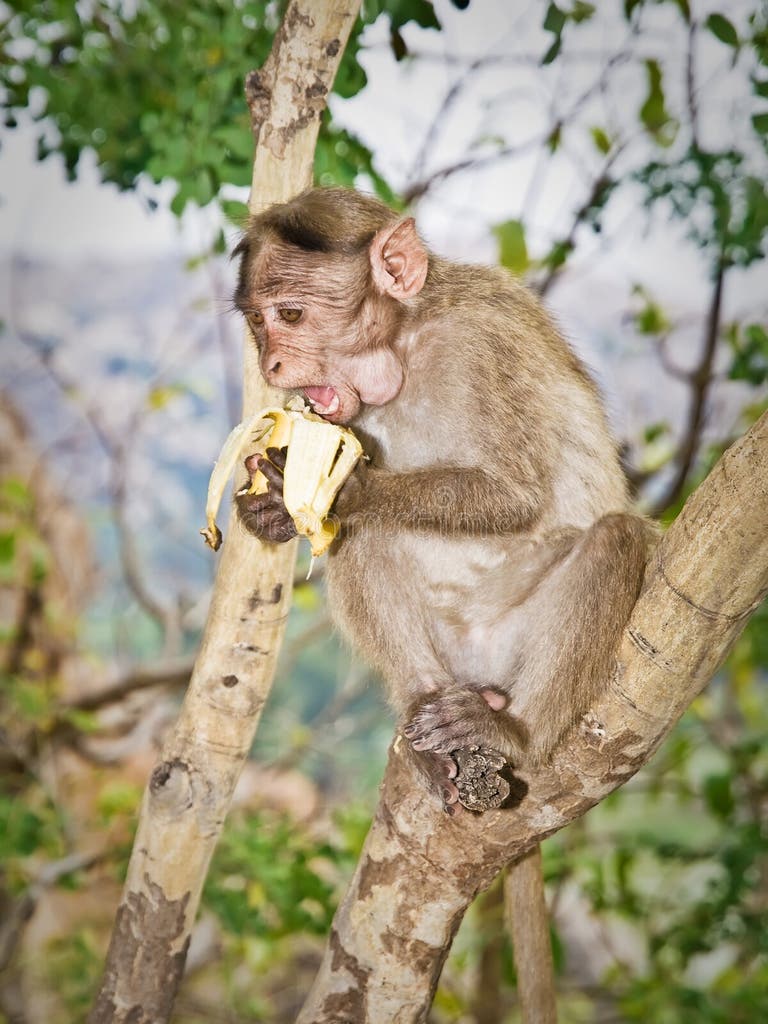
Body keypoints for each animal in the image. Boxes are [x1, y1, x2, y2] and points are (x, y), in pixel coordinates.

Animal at [232, 186, 652, 813]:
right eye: (258, 321)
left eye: (291, 314)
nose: (271, 363)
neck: (404, 345)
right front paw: (265, 513)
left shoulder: (481, 345)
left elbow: (515, 494)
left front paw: (348, 489)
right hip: (450, 658)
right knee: (364, 537)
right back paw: (422, 711)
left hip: (512, 645)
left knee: (616, 540)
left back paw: (514, 729)